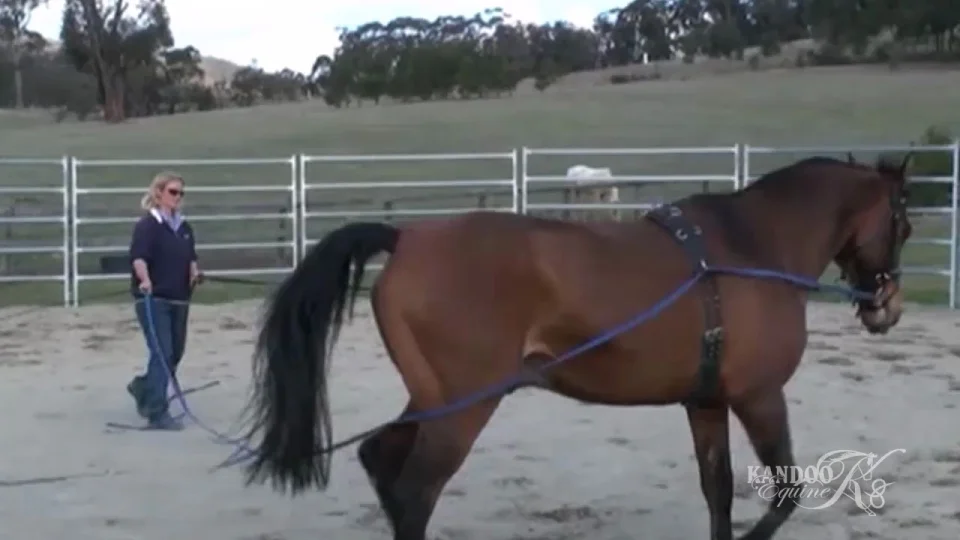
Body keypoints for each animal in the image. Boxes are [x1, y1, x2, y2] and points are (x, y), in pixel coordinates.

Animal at [239, 153, 913, 540]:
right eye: (903, 223)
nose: (888, 308)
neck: (752, 247)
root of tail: (406, 238)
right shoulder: (760, 396)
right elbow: (786, 495)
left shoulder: (706, 403)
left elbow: (718, 492)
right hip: (464, 406)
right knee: (413, 492)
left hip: (434, 398)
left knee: (381, 459)